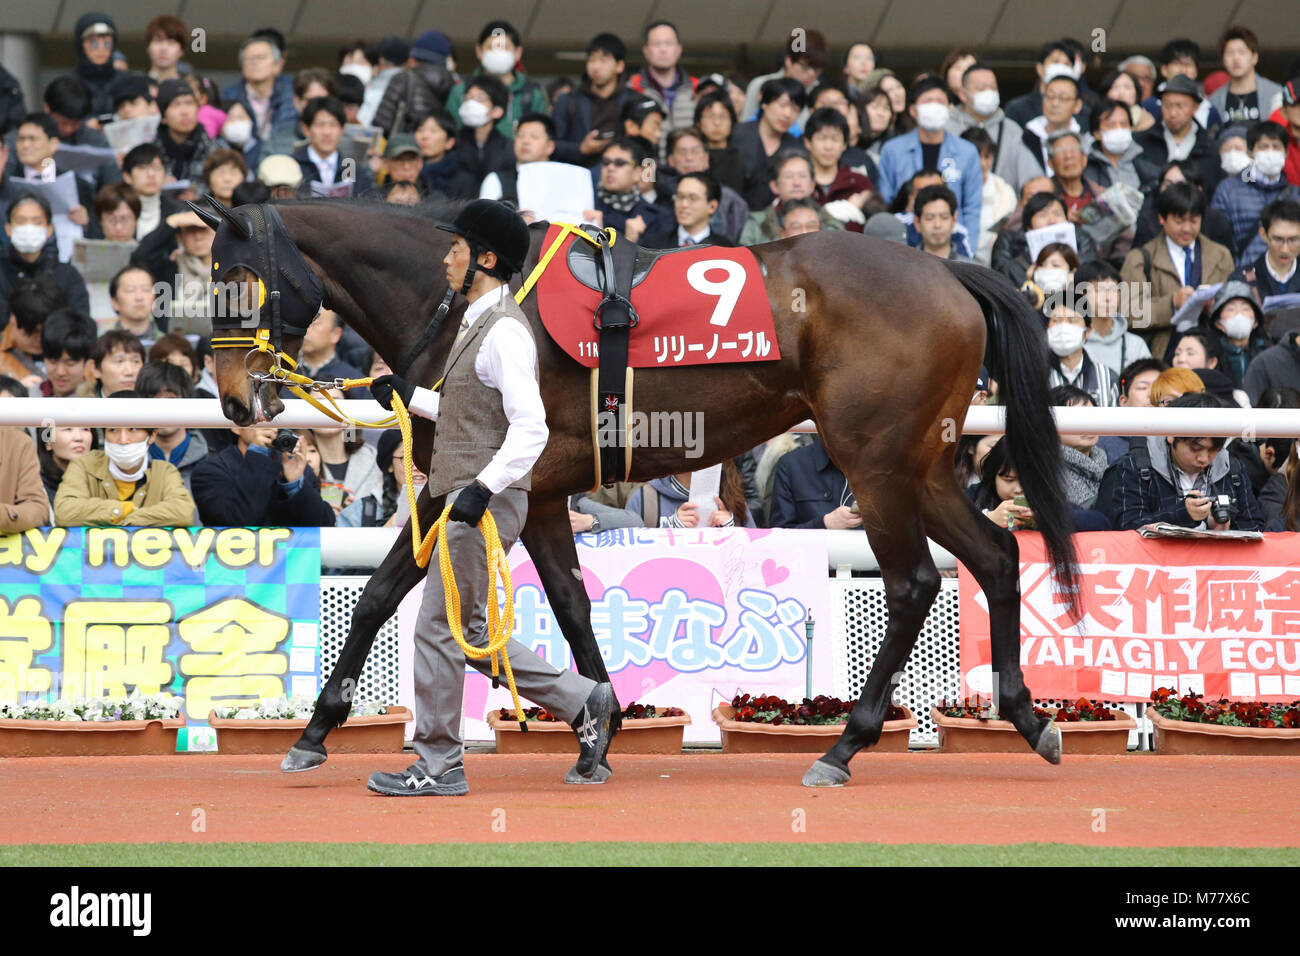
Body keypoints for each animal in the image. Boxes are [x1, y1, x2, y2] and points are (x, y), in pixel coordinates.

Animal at [194, 196, 1079, 786]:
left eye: (240, 278)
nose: (235, 400)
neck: (466, 307)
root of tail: (946, 271)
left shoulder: (474, 480)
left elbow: (381, 595)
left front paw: (315, 729)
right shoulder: (538, 491)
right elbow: (569, 603)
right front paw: (599, 730)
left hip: (877, 464)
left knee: (915, 582)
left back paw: (844, 745)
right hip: (921, 465)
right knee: (997, 556)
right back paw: (1029, 719)